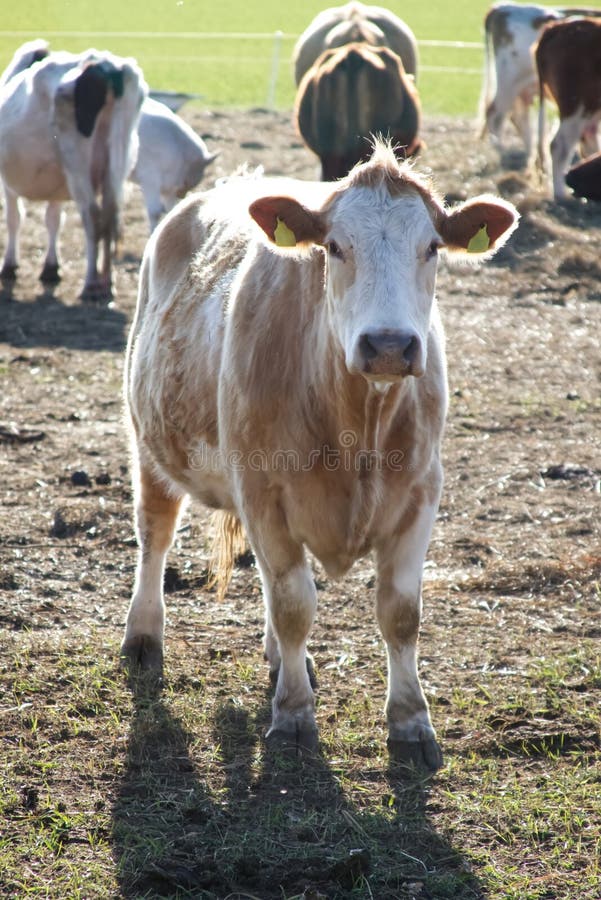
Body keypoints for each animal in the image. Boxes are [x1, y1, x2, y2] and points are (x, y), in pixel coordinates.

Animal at [0, 44, 147, 298]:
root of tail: (105, 68)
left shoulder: (8, 183)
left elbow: (14, 218)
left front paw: (9, 266)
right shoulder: (58, 185)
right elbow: (54, 219)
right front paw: (51, 268)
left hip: (76, 160)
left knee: (93, 216)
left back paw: (90, 283)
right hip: (116, 159)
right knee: (109, 214)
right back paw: (107, 281)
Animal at [120, 140, 519, 769]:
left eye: (431, 247)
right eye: (334, 247)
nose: (388, 345)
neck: (358, 427)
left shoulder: (420, 493)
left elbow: (399, 613)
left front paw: (411, 721)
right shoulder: (262, 493)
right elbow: (293, 606)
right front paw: (292, 716)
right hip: (149, 440)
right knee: (154, 535)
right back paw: (143, 635)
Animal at [131, 97, 218, 233]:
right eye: (187, 182)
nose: (181, 194)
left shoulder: (169, 188)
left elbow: (171, 211)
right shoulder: (150, 178)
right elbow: (154, 212)